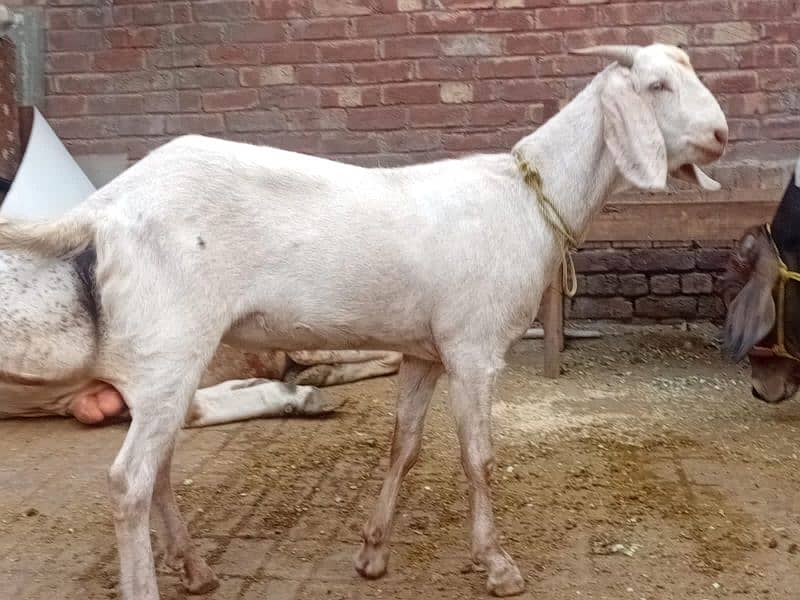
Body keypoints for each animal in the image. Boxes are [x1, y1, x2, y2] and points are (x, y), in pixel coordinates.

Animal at [0, 44, 727, 598]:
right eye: (657, 85)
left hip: (168, 357)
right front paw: (497, 566)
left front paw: (373, 553)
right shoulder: (474, 348)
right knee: (128, 480)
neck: (525, 198)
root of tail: (104, 207)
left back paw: (197, 568)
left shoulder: (426, 350)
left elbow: (403, 447)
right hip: (171, 342)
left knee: (160, 466)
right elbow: (479, 458)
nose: (721, 135)